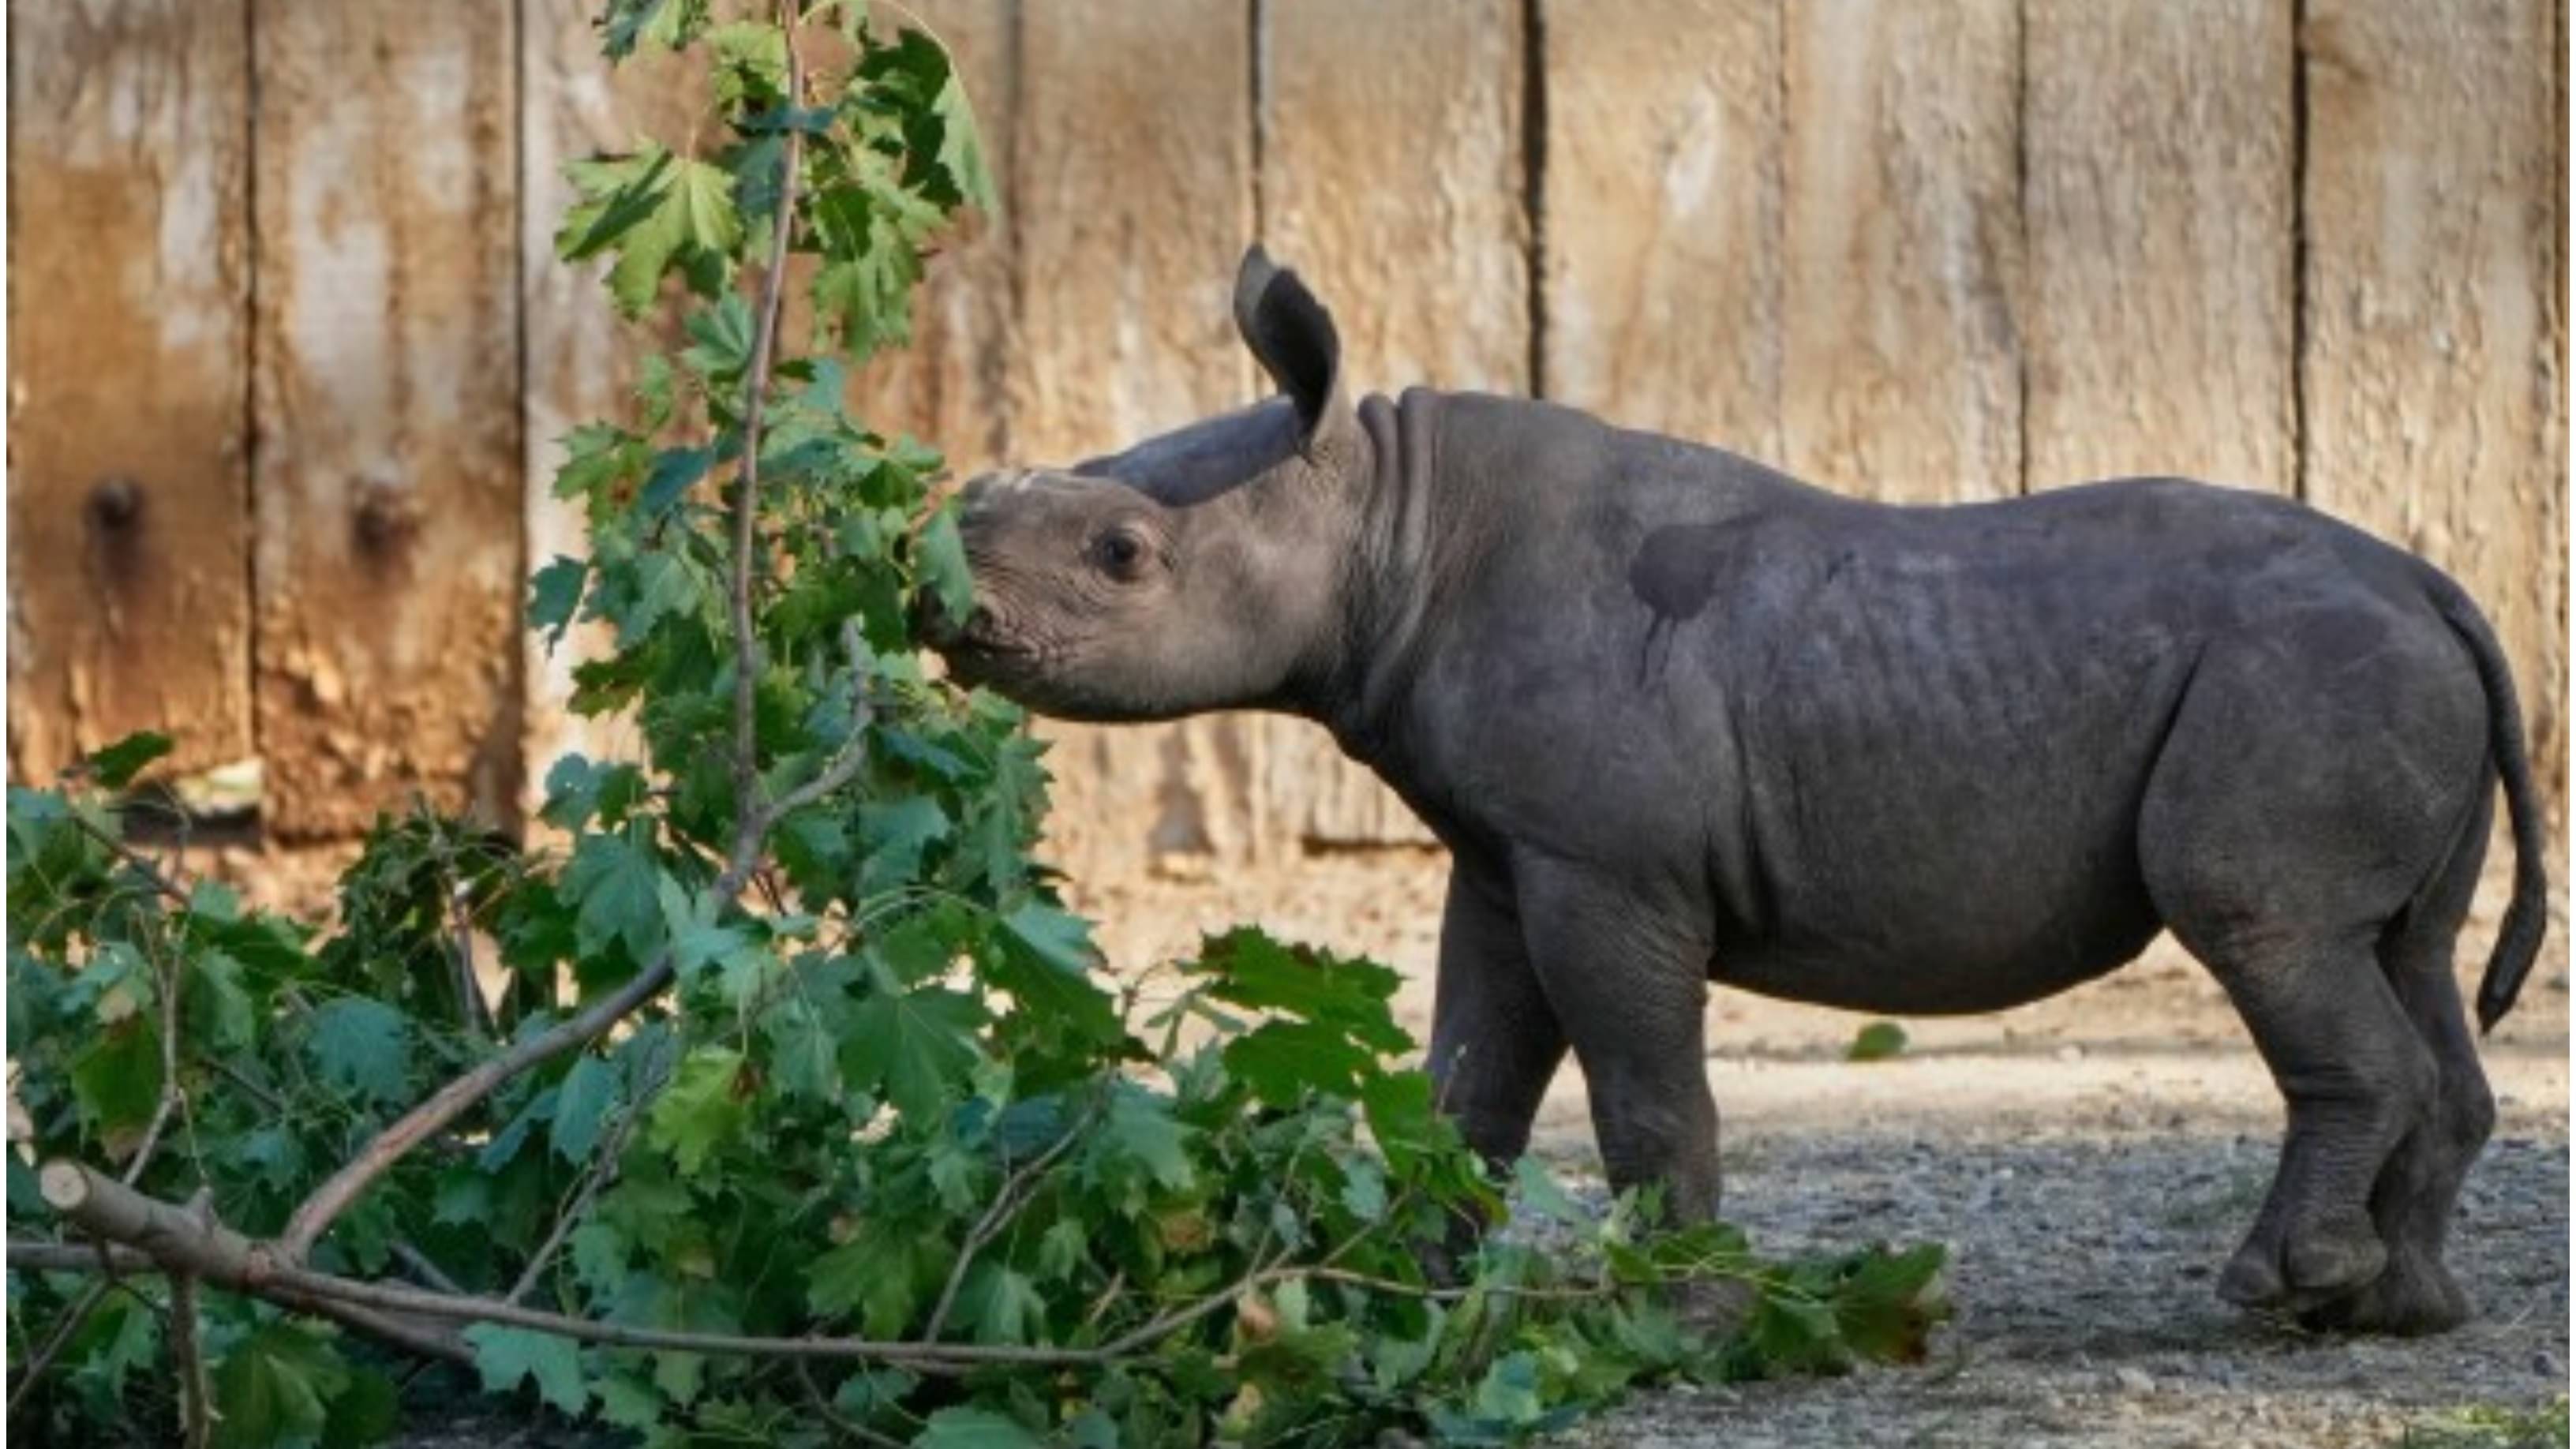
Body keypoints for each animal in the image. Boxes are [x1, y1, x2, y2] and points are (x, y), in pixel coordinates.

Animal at [924, 247, 2549, 1335]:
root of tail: (2434, 582)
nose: (942, 592)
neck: (1385, 511)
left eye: (1123, 555)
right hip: (2376, 668)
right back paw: (2396, 1311)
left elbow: (1644, 1095)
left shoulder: (1606, 867)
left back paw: (2274, 1291)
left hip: (2299, 675)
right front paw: (1407, 1297)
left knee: (2262, 923)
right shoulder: (1509, 855)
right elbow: (1467, 1085)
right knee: (2400, 954)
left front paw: (1673, 1314)